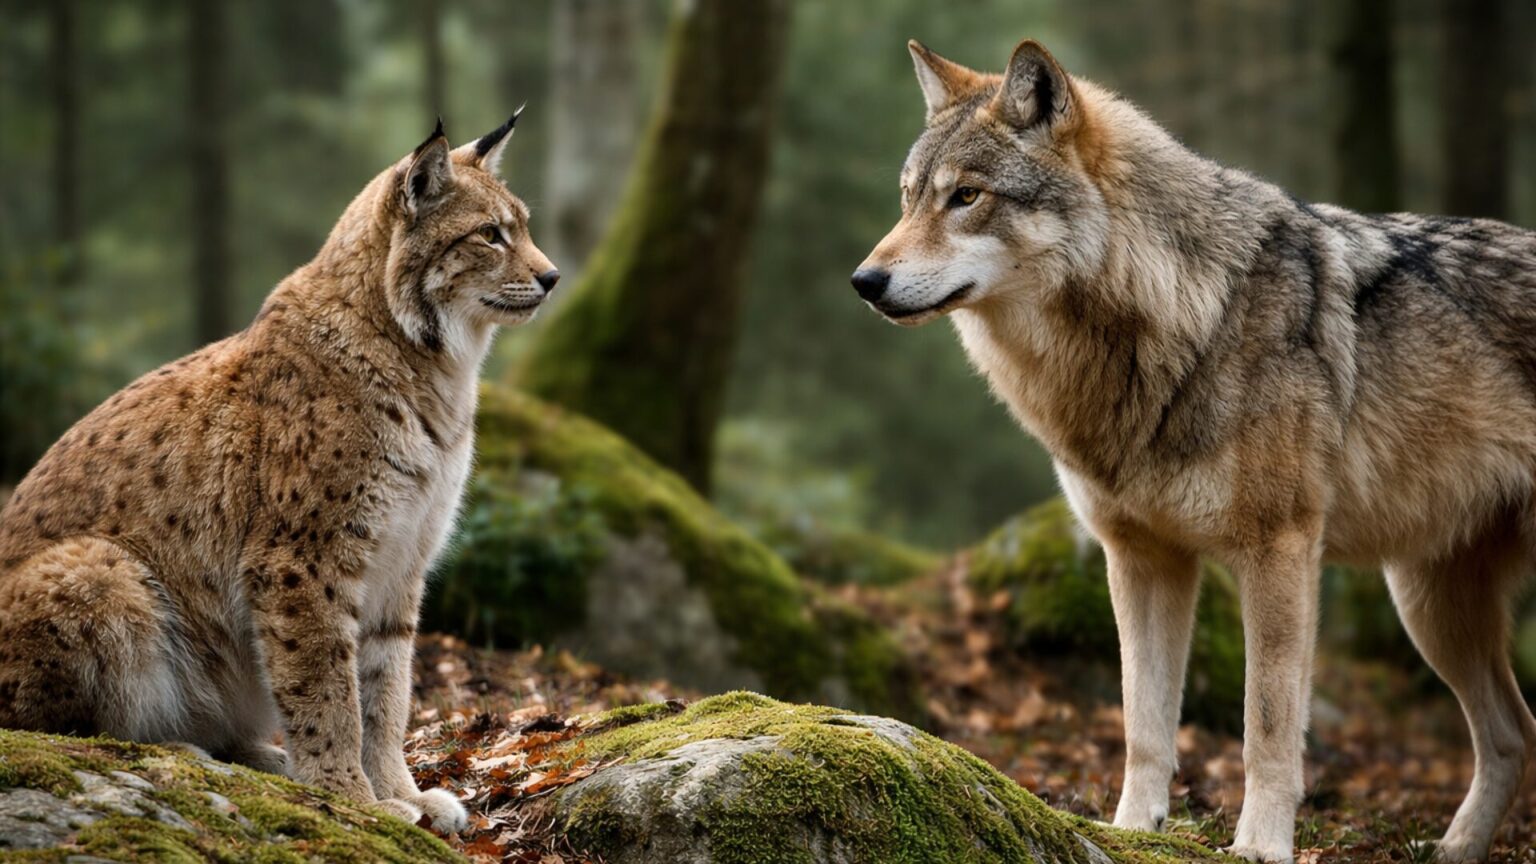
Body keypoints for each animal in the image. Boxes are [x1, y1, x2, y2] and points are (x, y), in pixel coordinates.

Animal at [0, 115, 558, 829]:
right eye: (490, 233)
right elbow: (325, 687)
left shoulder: (402, 555)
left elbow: (385, 688)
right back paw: (188, 751)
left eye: (522, 226)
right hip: (105, 567)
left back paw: (262, 758)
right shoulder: (303, 556)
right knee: (57, 728)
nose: (553, 277)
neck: (430, 360)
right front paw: (355, 800)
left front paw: (398, 791)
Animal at [854, 38, 1536, 862]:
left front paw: (1260, 845)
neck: (1183, 313)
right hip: (1428, 605)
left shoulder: (1278, 551)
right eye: (908, 198)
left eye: (966, 196)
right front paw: (1127, 830)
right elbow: (1143, 723)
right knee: (1513, 734)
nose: (865, 280)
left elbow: (1265, 727)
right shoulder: (1141, 558)